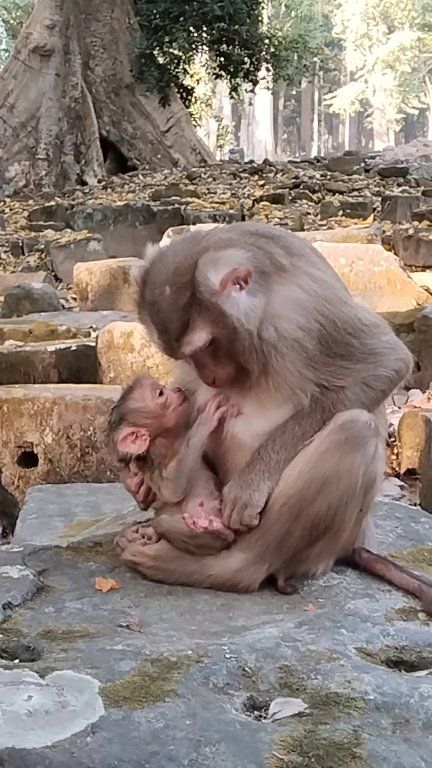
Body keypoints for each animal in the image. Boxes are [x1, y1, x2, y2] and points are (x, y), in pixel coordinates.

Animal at [108, 373, 236, 556]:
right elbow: (172, 490)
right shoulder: (156, 455)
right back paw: (213, 530)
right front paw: (204, 422)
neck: (171, 437)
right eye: (161, 393)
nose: (177, 389)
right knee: (163, 522)